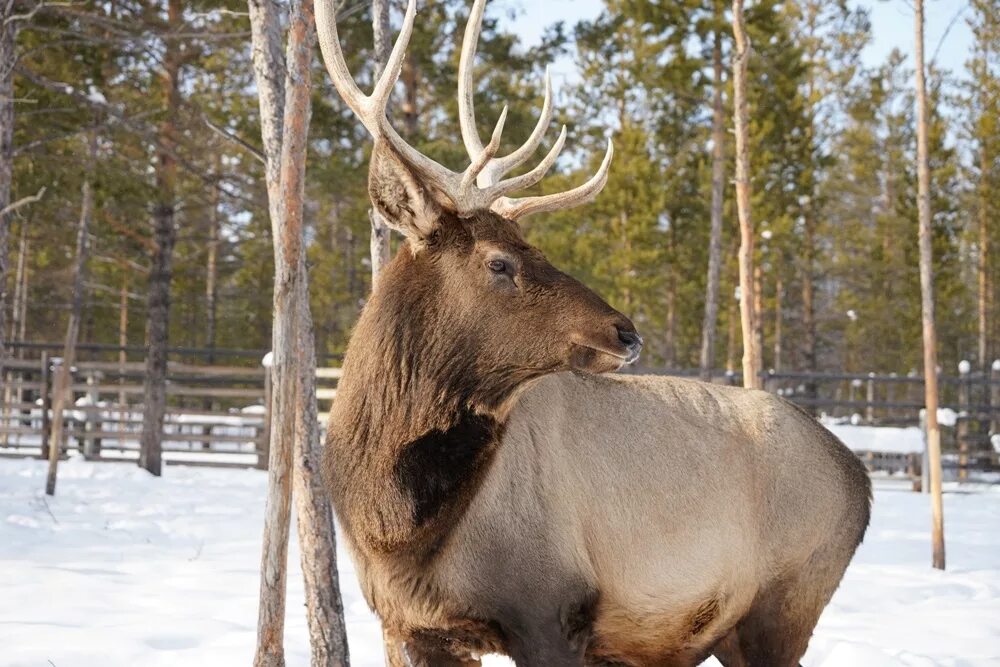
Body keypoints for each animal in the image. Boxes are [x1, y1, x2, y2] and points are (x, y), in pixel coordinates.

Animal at [316, 2, 872, 664]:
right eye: (500, 262)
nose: (626, 332)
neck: (395, 523)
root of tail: (863, 482)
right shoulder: (410, 625)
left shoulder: (551, 609)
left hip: (783, 606)